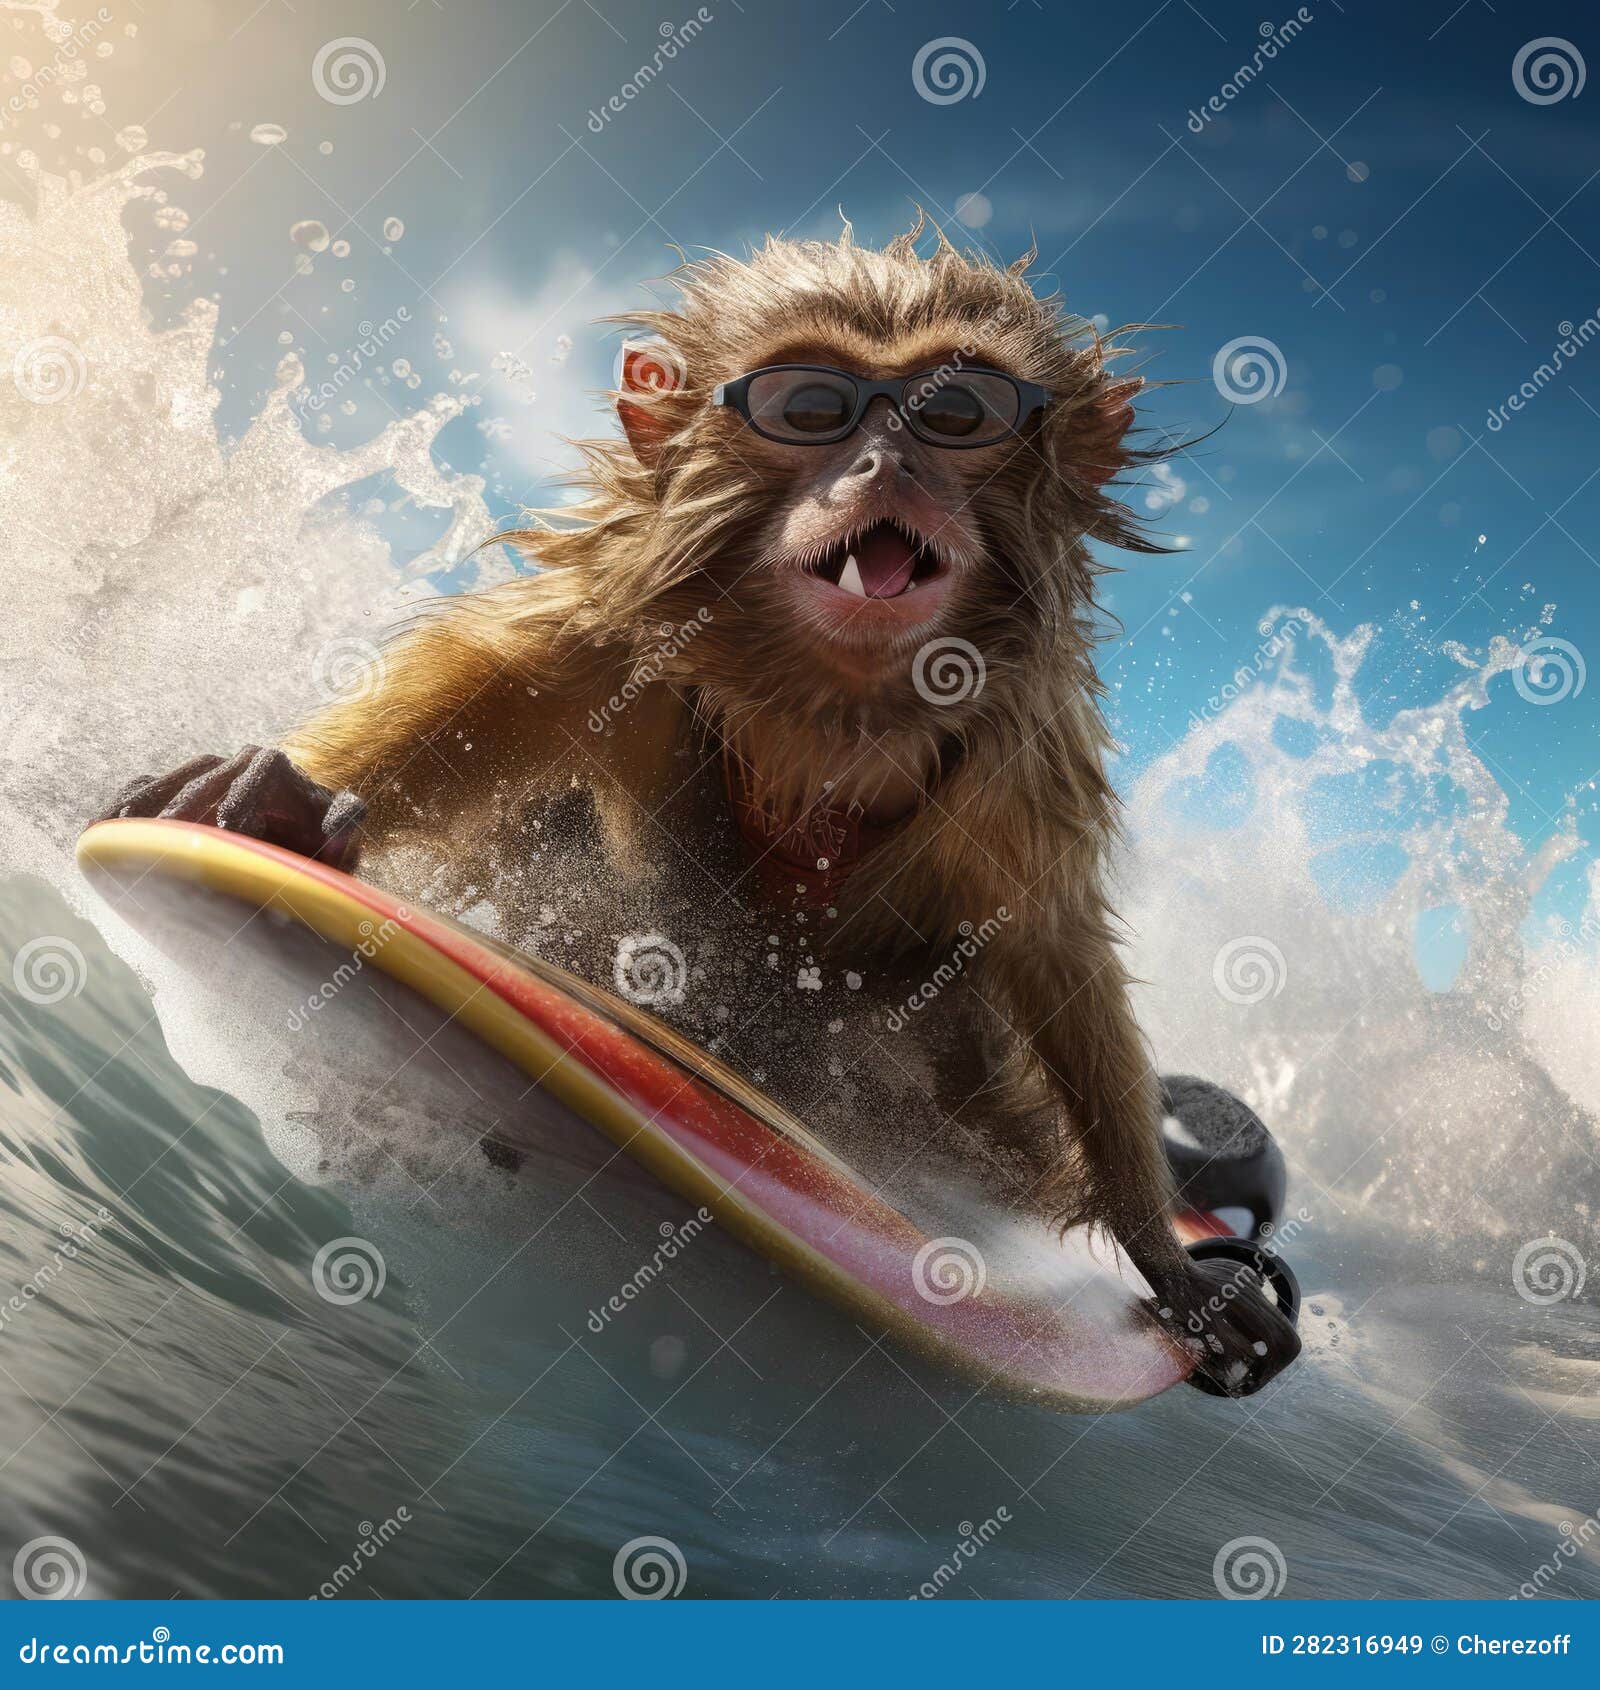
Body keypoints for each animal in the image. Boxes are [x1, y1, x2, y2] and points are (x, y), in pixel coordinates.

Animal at [99, 217, 1299, 1398]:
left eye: (958, 413)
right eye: (808, 405)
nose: (887, 459)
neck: (834, 700)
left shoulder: (1022, 750)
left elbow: (1050, 937)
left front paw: (1163, 1252)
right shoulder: (630, 621)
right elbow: (505, 679)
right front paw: (286, 802)